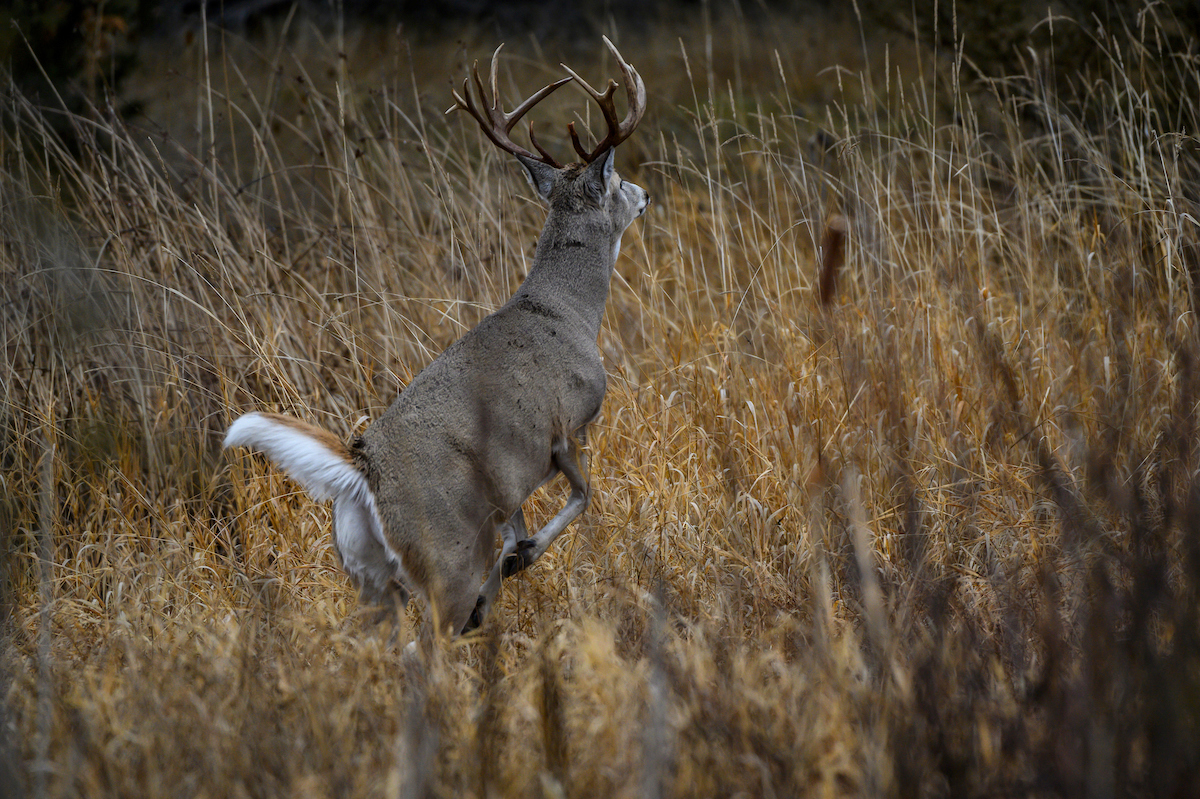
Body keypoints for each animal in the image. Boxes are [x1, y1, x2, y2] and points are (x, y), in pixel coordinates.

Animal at [223, 37, 648, 638]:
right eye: (616, 181)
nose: (645, 194)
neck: (567, 313)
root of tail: (363, 470)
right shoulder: (567, 424)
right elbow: (583, 497)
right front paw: (520, 560)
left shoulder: (512, 480)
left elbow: (519, 523)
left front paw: (507, 570)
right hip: (444, 560)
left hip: (369, 578)